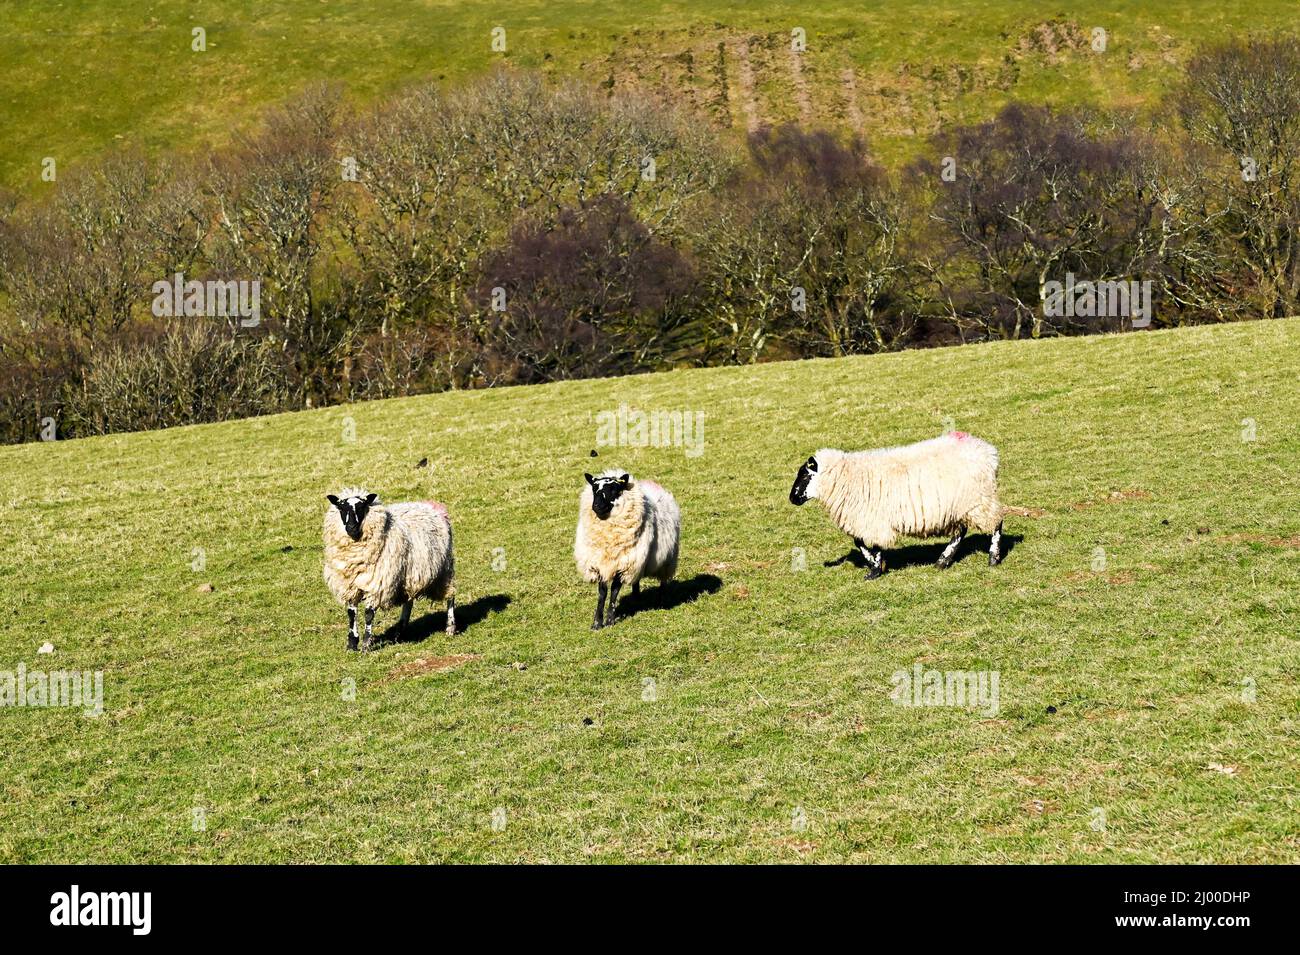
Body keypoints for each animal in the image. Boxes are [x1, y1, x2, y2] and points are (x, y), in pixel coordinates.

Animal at [322, 487, 455, 651]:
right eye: (341, 508)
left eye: (362, 507)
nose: (351, 528)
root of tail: (432, 505)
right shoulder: (350, 586)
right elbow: (351, 614)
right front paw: (352, 644)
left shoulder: (376, 584)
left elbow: (368, 614)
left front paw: (366, 645)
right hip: (410, 575)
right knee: (409, 601)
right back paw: (400, 631)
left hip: (445, 568)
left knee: (450, 595)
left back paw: (450, 627)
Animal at [574, 470, 680, 629]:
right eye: (594, 489)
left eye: (614, 490)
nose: (596, 506)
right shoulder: (601, 564)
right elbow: (602, 592)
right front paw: (597, 623)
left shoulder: (623, 564)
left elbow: (614, 591)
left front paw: (610, 620)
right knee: (636, 581)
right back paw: (636, 599)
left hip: (667, 558)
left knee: (663, 580)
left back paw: (661, 601)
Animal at [788, 431, 1004, 578]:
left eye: (805, 475)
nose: (792, 498)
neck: (848, 476)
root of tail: (988, 452)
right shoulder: (869, 518)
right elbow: (860, 542)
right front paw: (876, 565)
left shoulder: (873, 518)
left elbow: (868, 543)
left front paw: (874, 569)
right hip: (962, 504)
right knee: (961, 531)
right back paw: (942, 561)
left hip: (979, 499)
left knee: (996, 522)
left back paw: (993, 558)